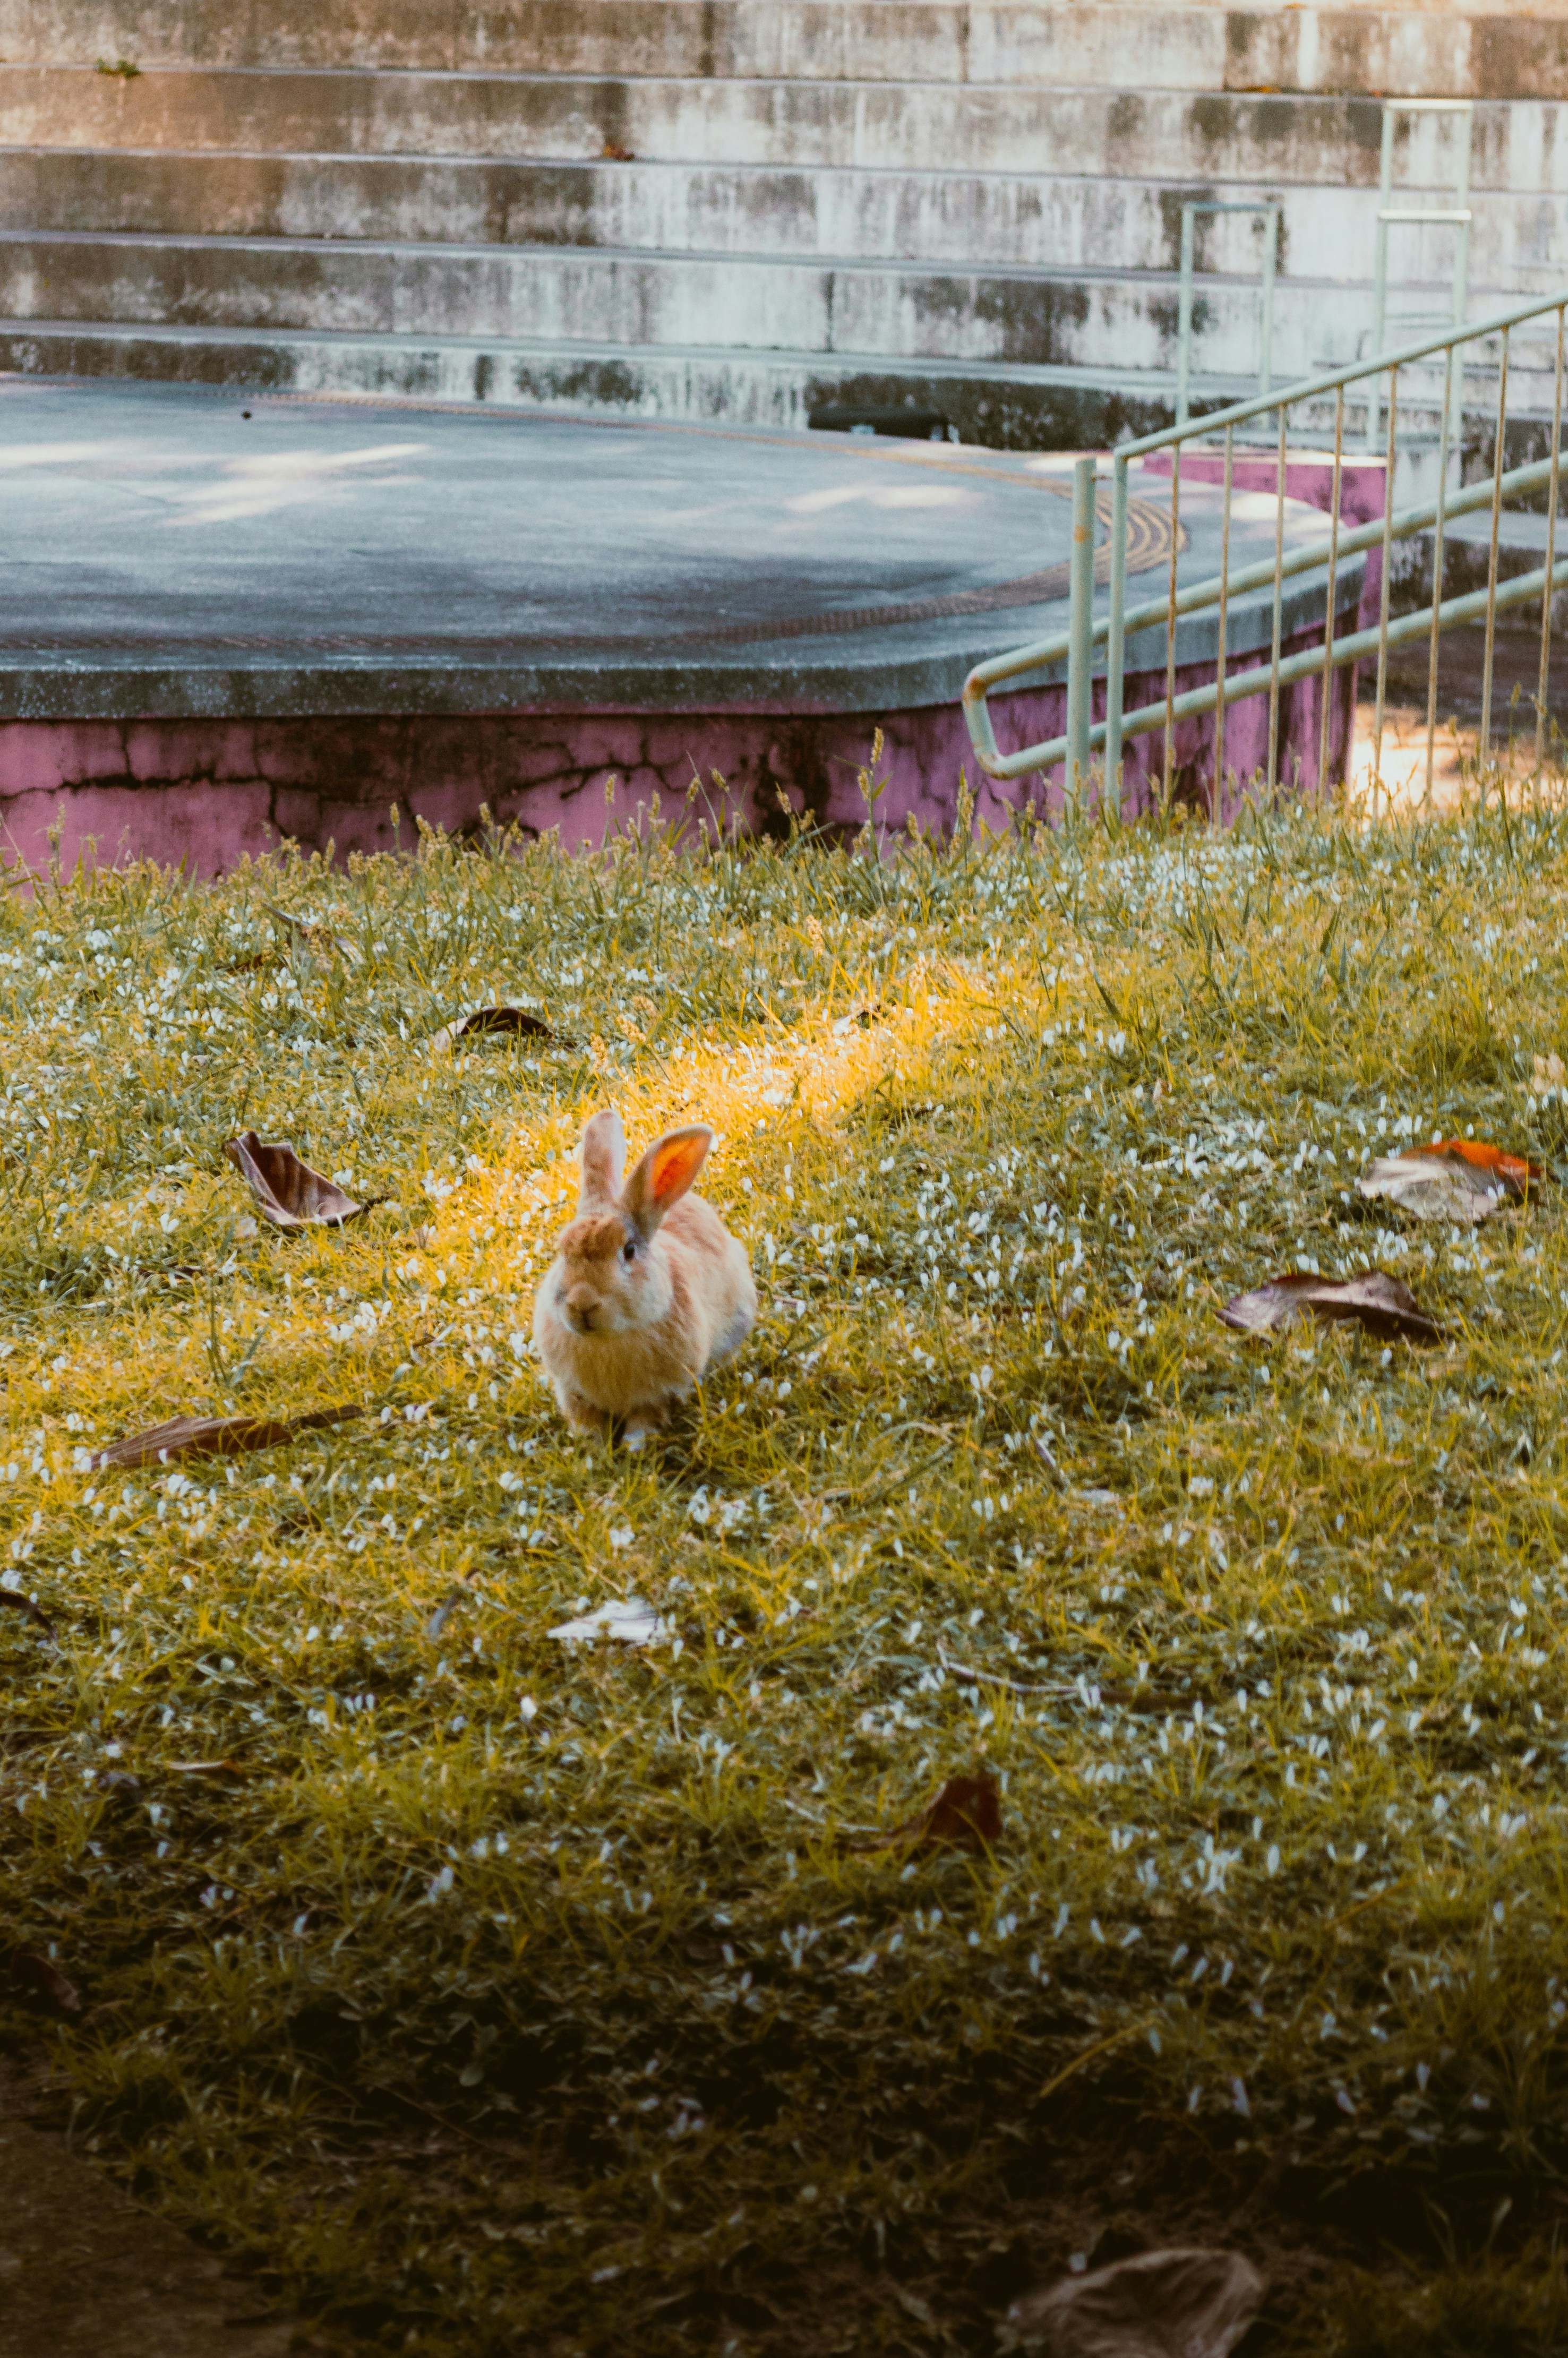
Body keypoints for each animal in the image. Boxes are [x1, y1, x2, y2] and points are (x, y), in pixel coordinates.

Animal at [532, 1107, 756, 1445]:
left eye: (628, 1251)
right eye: (562, 1251)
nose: (582, 1304)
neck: (607, 1339)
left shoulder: (660, 1394)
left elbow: (645, 1418)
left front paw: (633, 1446)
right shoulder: (572, 1393)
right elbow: (587, 1421)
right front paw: (594, 1446)